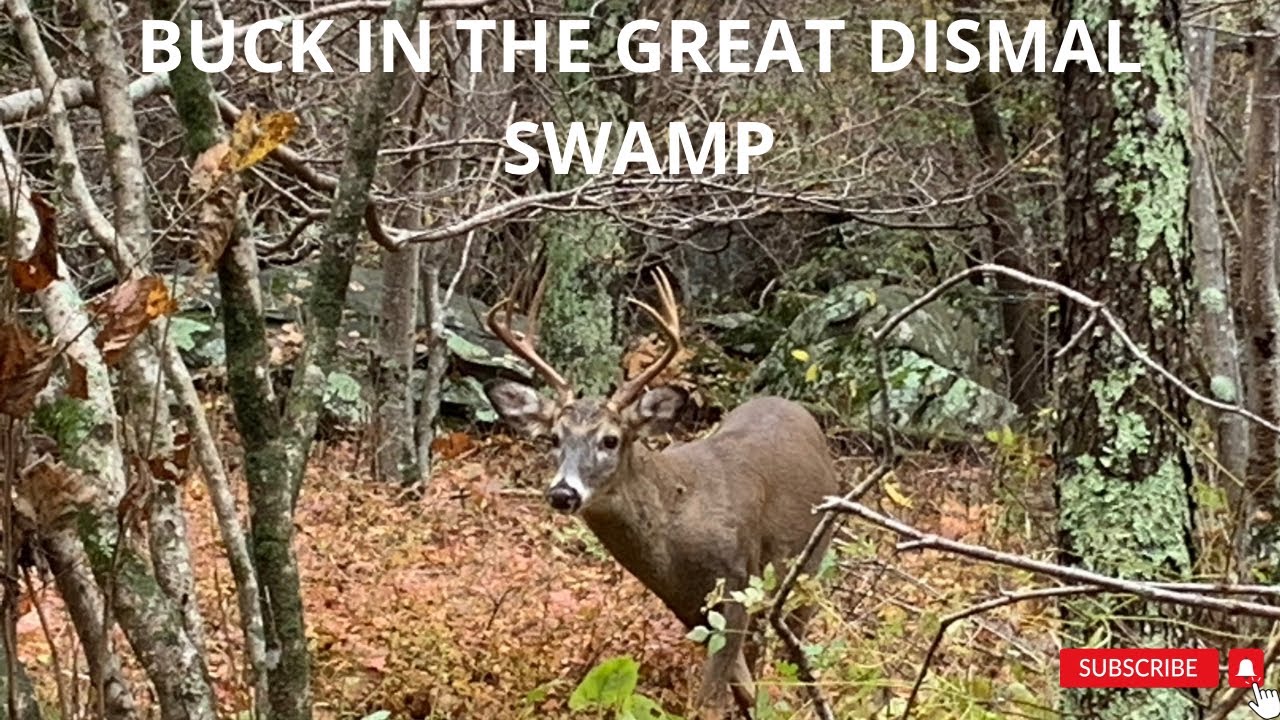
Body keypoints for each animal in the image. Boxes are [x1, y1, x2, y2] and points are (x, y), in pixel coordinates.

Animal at [483, 270, 841, 716]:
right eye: (553, 438)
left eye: (611, 439)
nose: (563, 493)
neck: (674, 536)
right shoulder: (686, 604)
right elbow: (740, 689)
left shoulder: (738, 580)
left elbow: (712, 700)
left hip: (807, 566)